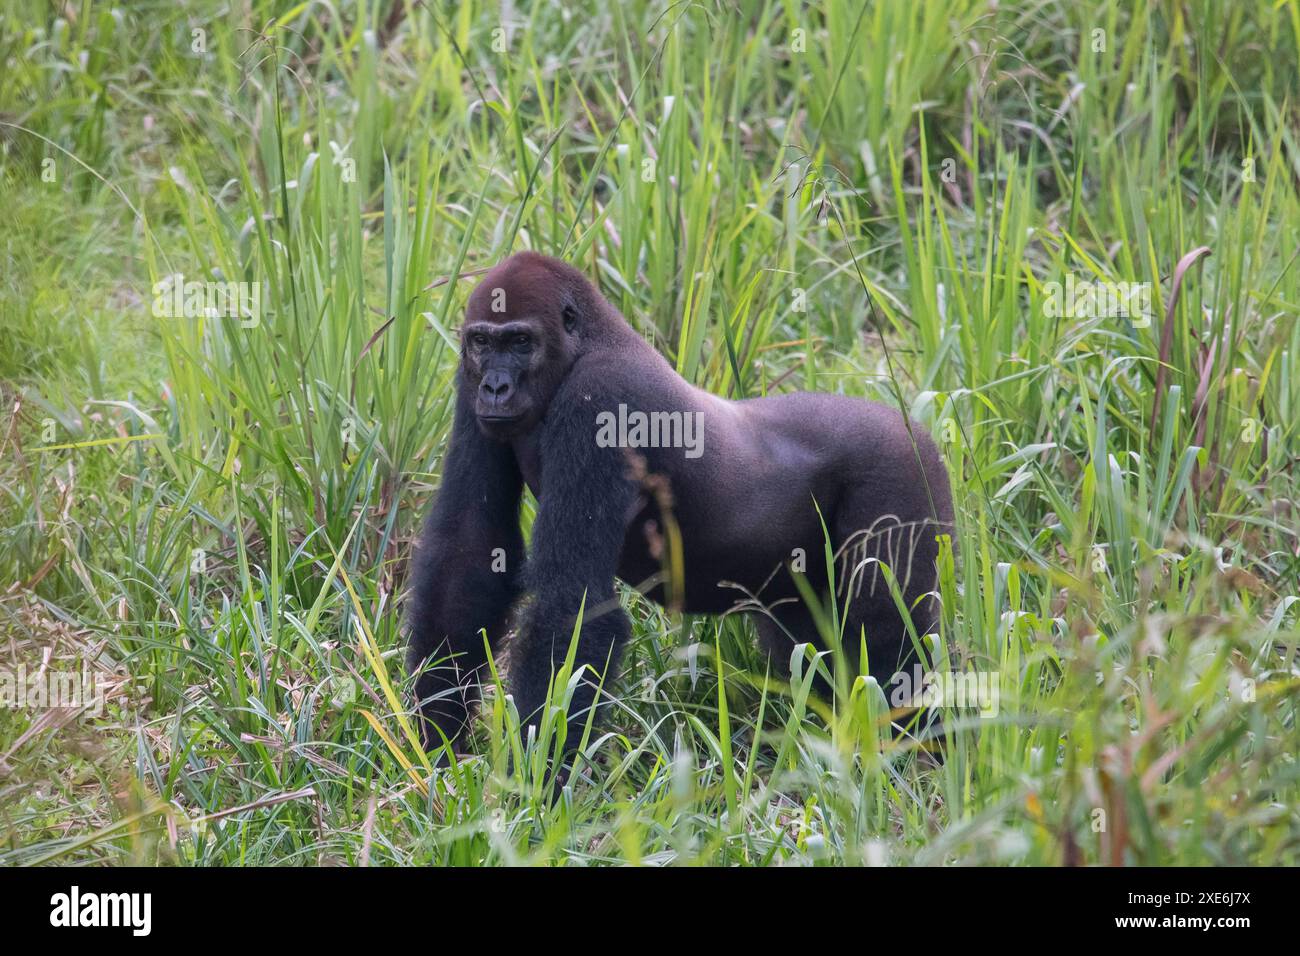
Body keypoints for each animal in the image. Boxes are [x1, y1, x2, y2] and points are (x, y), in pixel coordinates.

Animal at [407, 251, 954, 757]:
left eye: (520, 342)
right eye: (482, 342)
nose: (495, 387)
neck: (585, 345)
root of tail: (915, 426)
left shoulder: (602, 398)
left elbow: (572, 602)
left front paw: (539, 775)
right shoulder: (466, 382)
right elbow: (469, 552)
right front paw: (436, 740)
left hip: (902, 466)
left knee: (885, 631)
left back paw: (908, 749)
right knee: (808, 648)